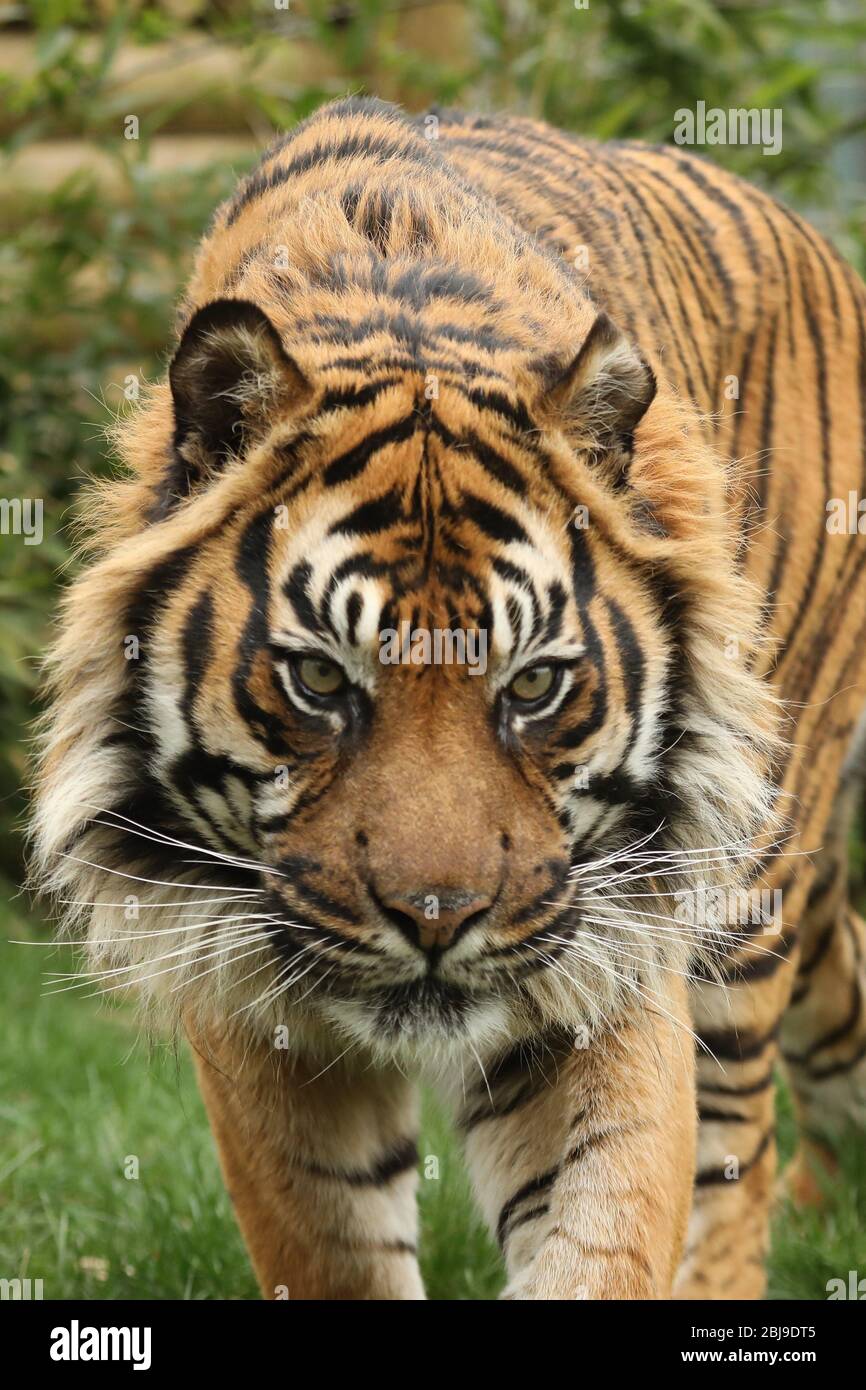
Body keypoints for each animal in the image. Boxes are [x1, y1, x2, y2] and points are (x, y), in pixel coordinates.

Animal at [30, 95, 866, 1301]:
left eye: (535, 685)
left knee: (735, 1145)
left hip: (749, 878)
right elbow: (334, 1248)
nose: (435, 919)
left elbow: (605, 1232)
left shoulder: (602, 954)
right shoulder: (252, 1000)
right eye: (320, 678)